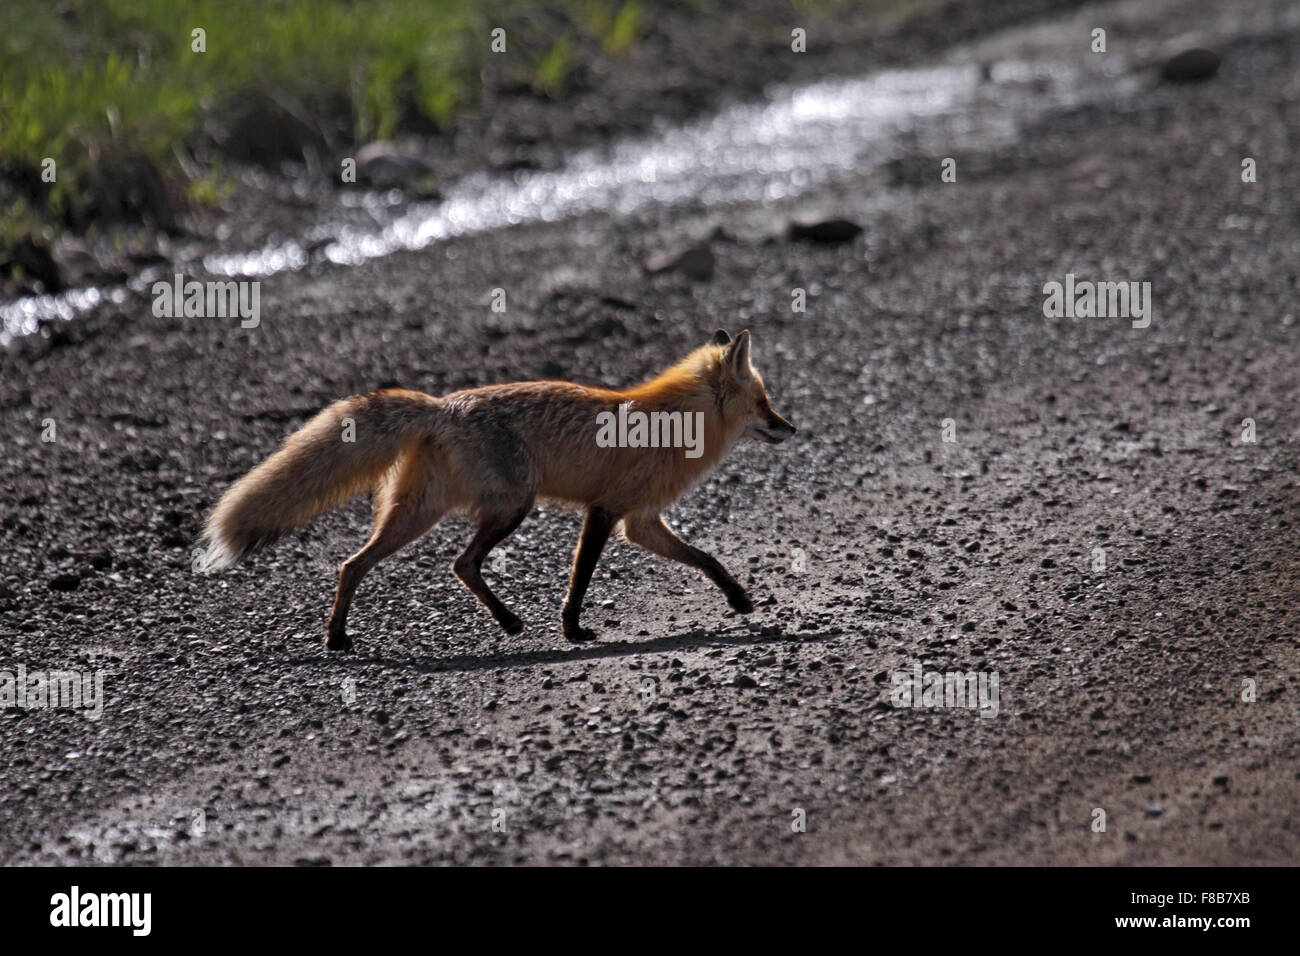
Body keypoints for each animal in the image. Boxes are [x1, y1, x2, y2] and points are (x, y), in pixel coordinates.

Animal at [199, 328, 795, 650]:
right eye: (764, 404)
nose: (792, 428)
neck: (669, 423)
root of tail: (442, 405)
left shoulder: (640, 521)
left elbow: (705, 559)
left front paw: (739, 598)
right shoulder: (605, 511)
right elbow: (581, 578)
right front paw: (573, 629)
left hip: (421, 513)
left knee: (358, 564)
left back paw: (342, 636)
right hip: (512, 506)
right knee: (458, 563)